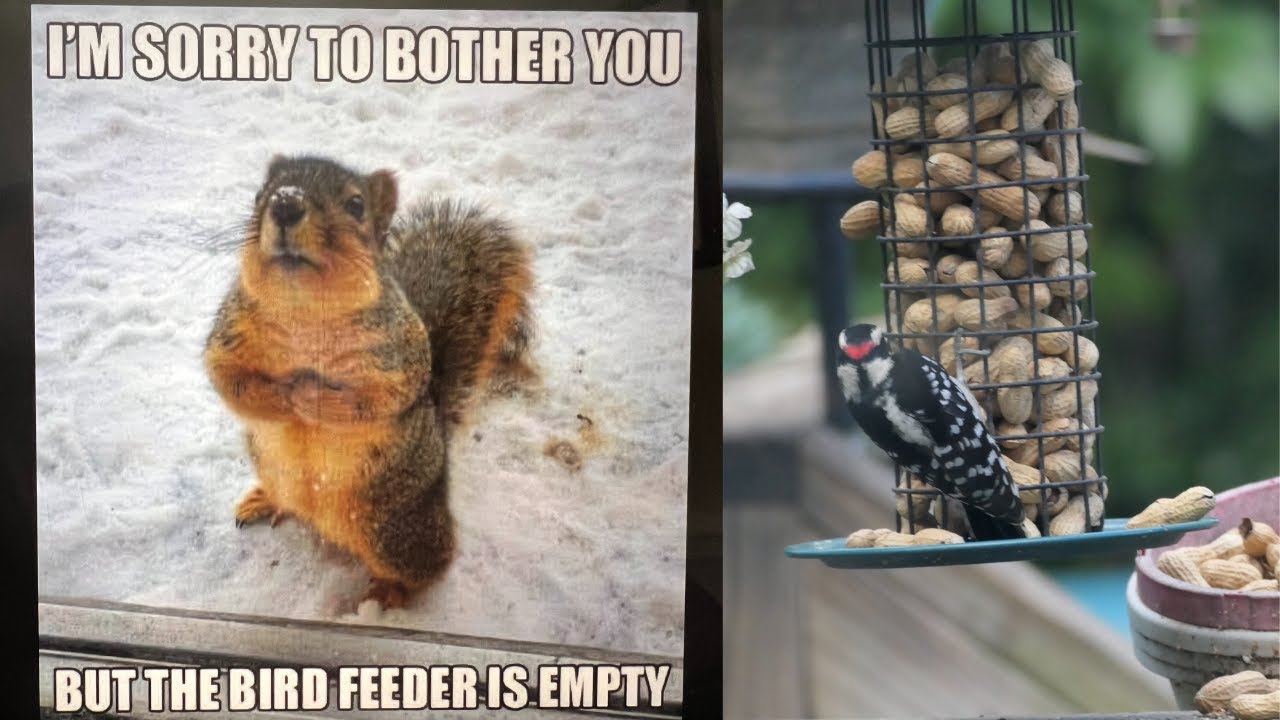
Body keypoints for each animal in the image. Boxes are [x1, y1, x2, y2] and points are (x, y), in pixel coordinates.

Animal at [204, 155, 534, 609]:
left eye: (356, 205)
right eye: (260, 193)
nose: (285, 204)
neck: (304, 311)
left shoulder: (400, 353)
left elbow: (381, 398)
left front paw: (313, 396)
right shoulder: (229, 334)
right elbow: (227, 379)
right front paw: (283, 394)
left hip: (393, 532)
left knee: (434, 564)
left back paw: (389, 593)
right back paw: (266, 500)